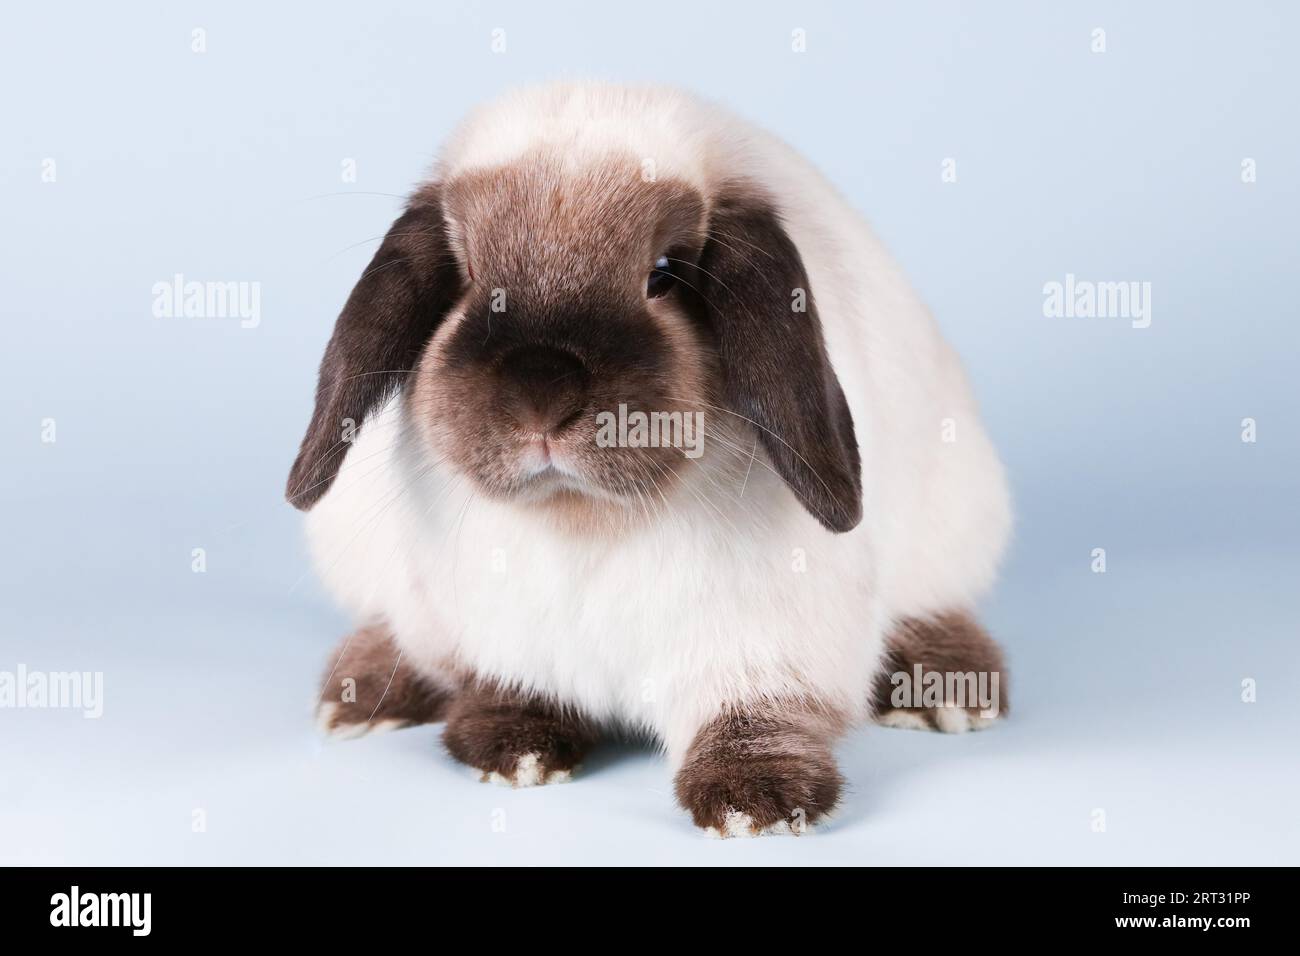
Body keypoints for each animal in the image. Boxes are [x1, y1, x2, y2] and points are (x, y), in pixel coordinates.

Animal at [288, 82, 1012, 837]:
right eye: (463, 276)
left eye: (665, 274)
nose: (541, 389)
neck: (586, 521)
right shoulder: (494, 634)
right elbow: (501, 685)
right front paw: (515, 747)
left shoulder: (765, 650)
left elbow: (758, 718)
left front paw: (755, 802)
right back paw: (360, 695)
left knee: (936, 608)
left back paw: (948, 694)